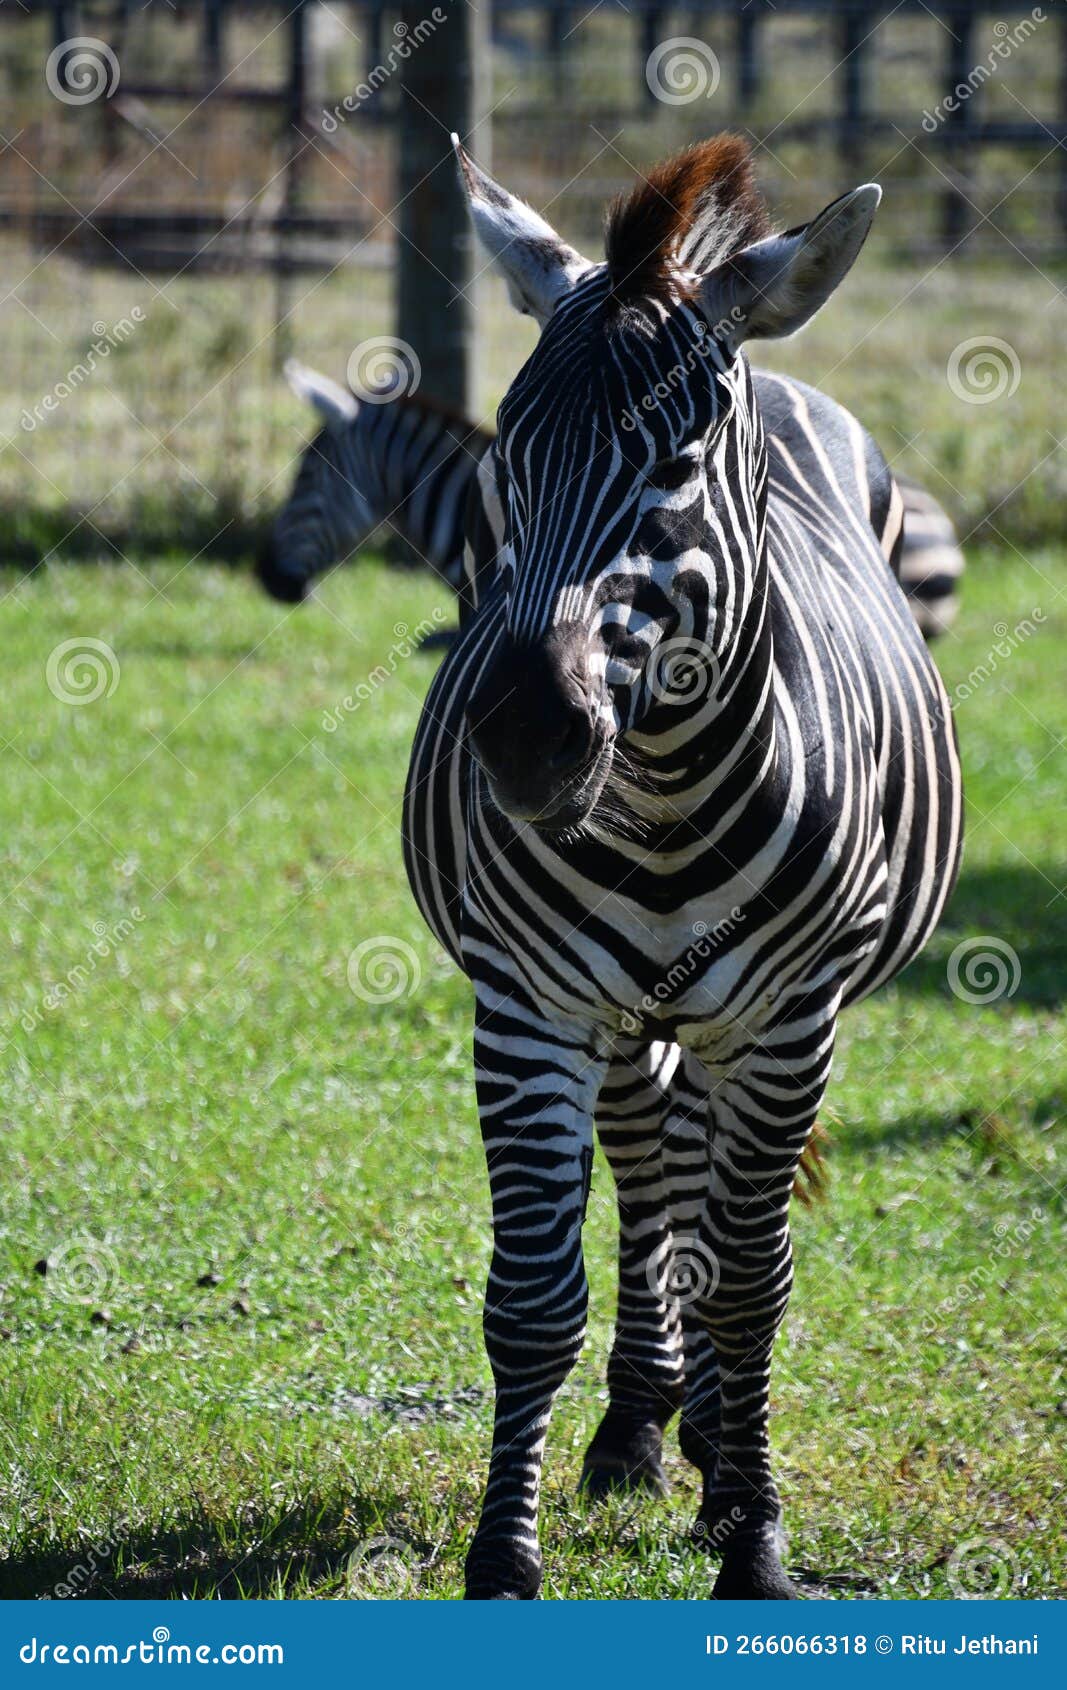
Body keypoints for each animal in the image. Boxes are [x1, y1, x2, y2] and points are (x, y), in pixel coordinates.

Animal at [401, 135, 963, 1601]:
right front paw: (503, 1553)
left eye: (681, 453)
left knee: (709, 1195)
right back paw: (643, 1426)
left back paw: (711, 1442)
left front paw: (754, 1536)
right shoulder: (527, 1006)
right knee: (656, 1158)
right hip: (629, 1017)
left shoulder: (787, 1021)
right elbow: (531, 1296)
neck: (654, 796)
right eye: (510, 453)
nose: (526, 737)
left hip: (743, 1019)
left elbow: (752, 1281)